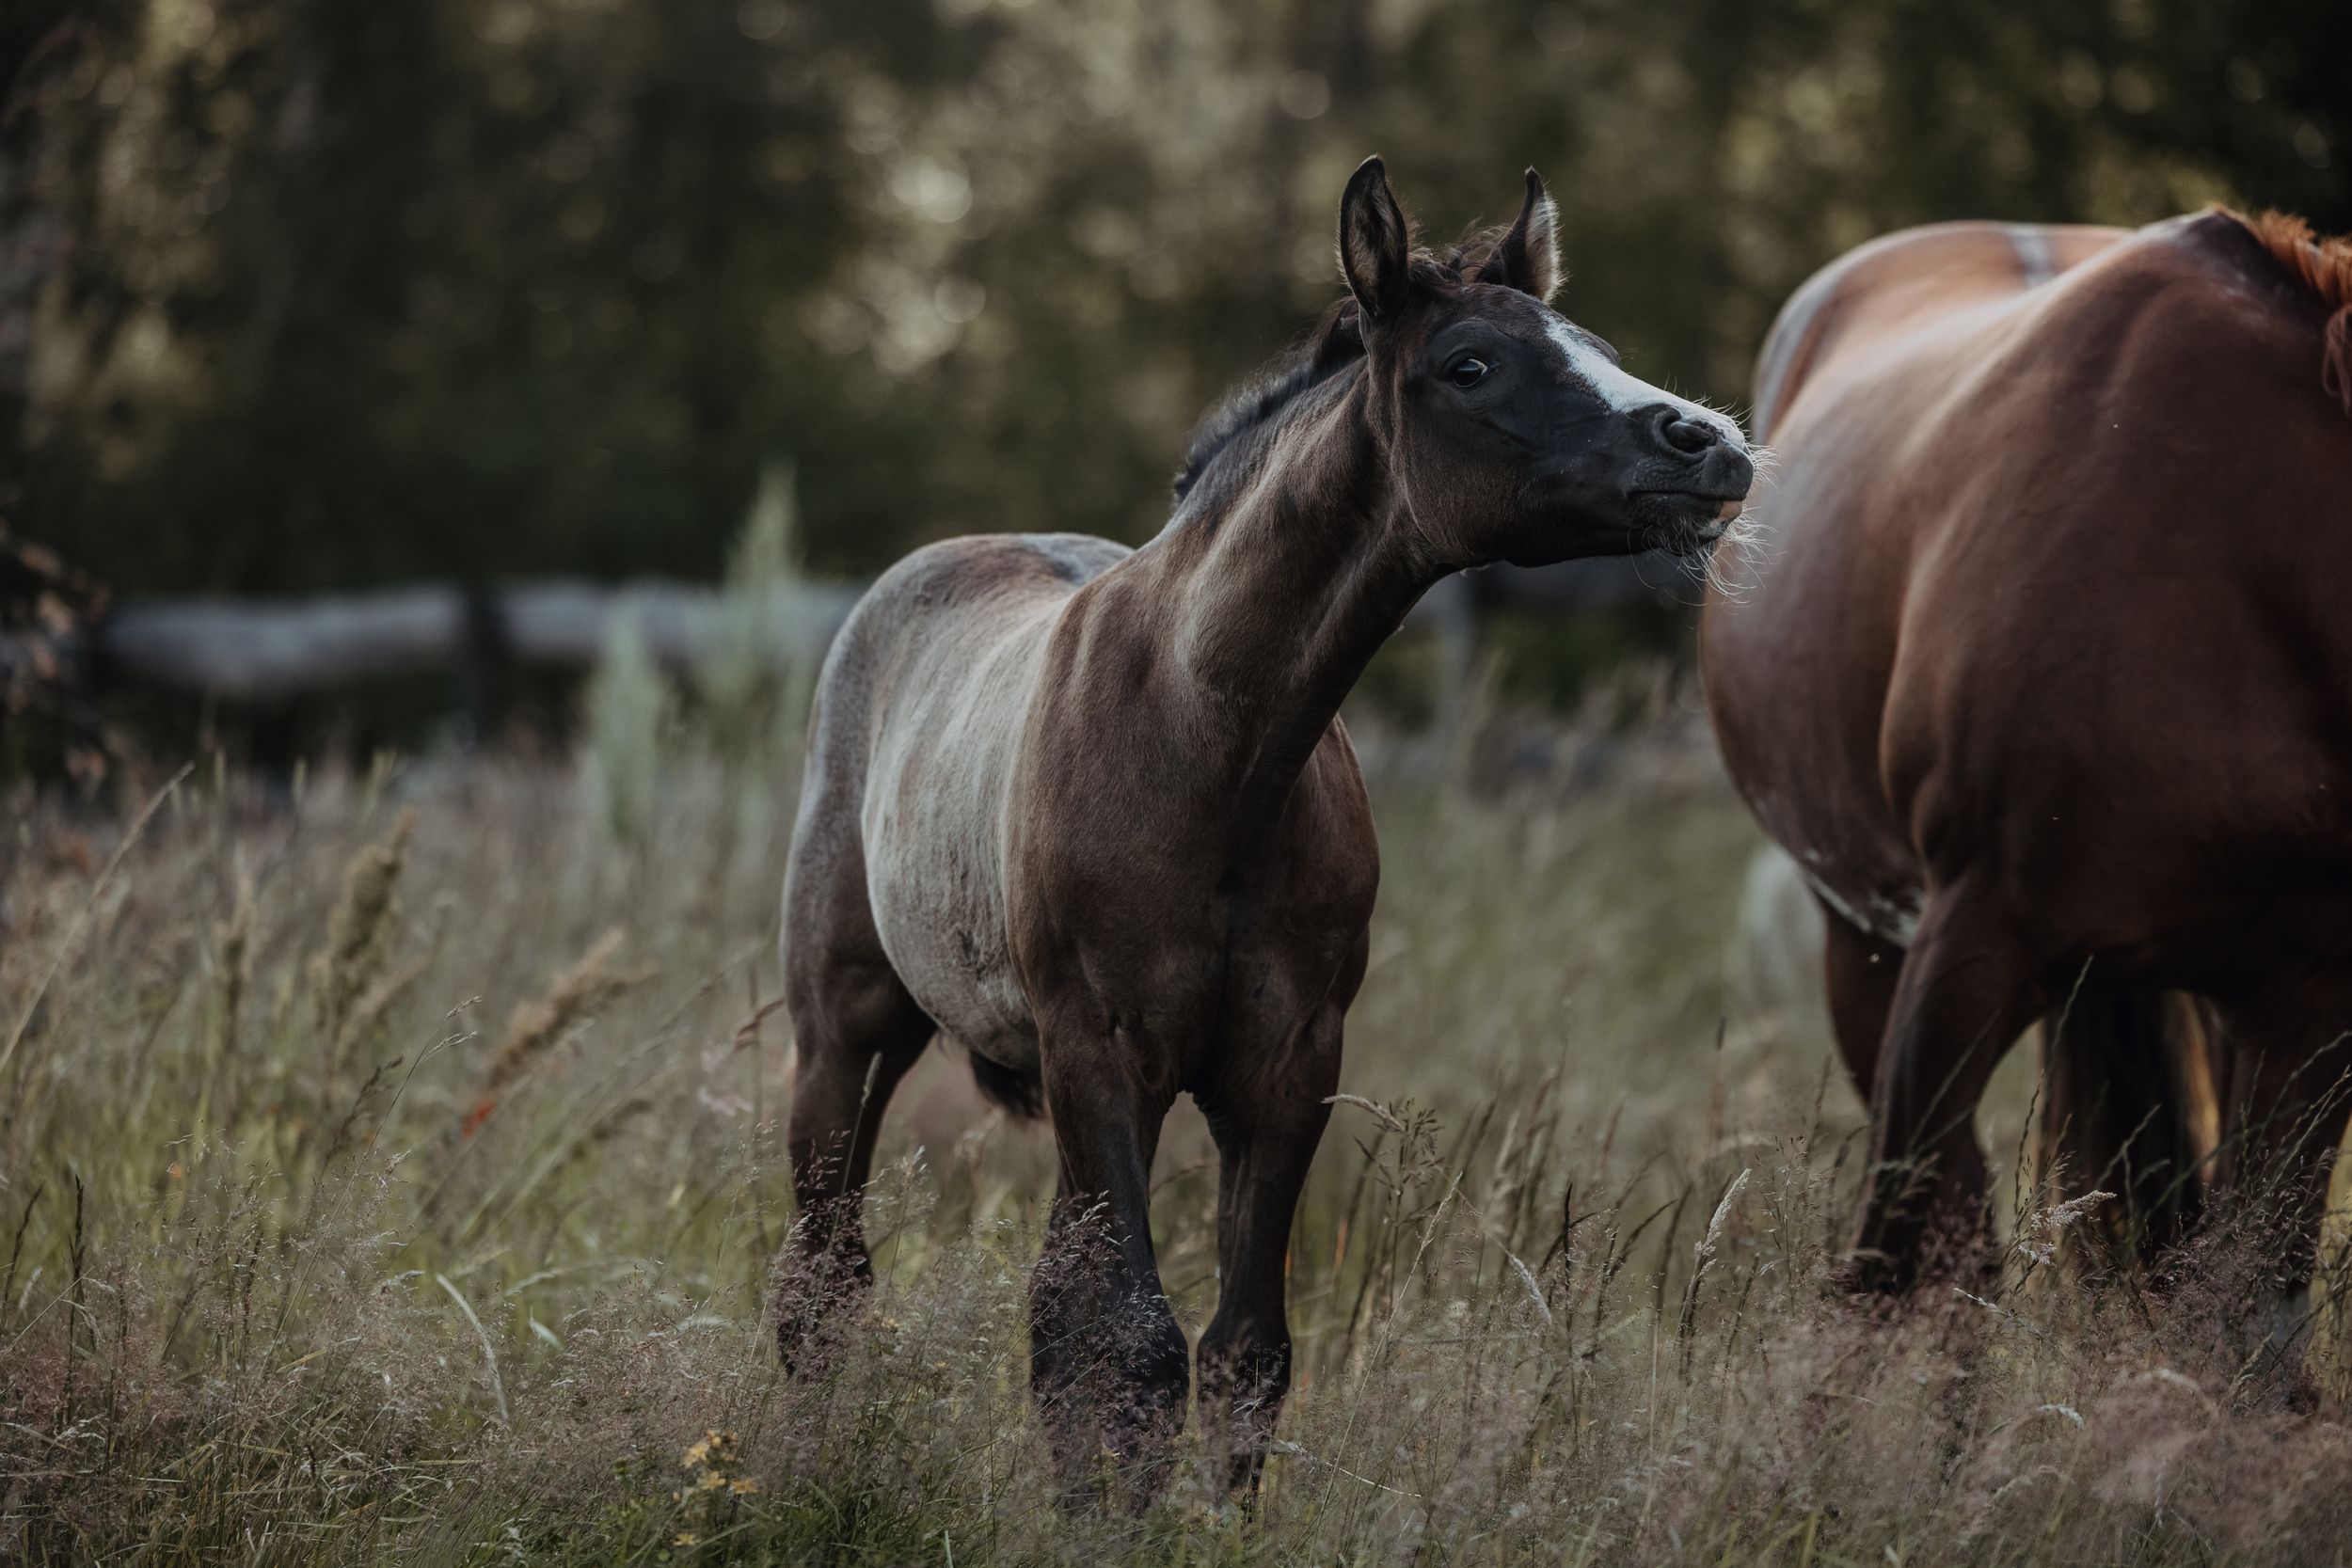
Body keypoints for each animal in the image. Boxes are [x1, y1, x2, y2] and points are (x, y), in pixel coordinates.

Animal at [774, 156, 1753, 1499]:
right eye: (1471, 364)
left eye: (1596, 347)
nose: (1711, 443)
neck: (1210, 750)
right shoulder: (1101, 1050)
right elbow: (1130, 1344)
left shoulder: (1288, 1064)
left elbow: (1242, 1351)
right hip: (849, 1029)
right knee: (822, 1277)